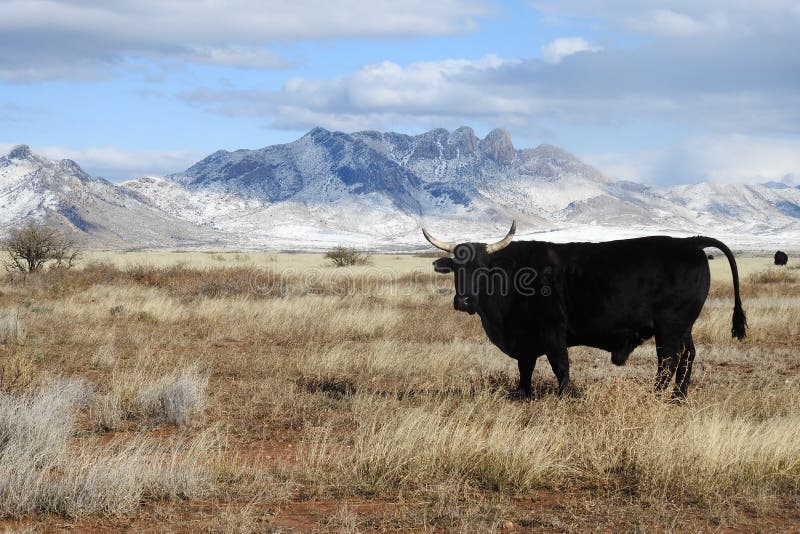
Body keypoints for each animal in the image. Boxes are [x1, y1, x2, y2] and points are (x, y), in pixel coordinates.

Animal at [423, 222, 747, 399]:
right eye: (457, 269)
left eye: (484, 269)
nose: (464, 301)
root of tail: (689, 242)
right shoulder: (526, 340)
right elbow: (525, 368)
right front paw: (523, 394)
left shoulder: (553, 332)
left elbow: (560, 366)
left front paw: (564, 395)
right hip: (683, 327)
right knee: (688, 356)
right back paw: (677, 398)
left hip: (669, 326)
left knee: (668, 361)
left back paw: (656, 397)